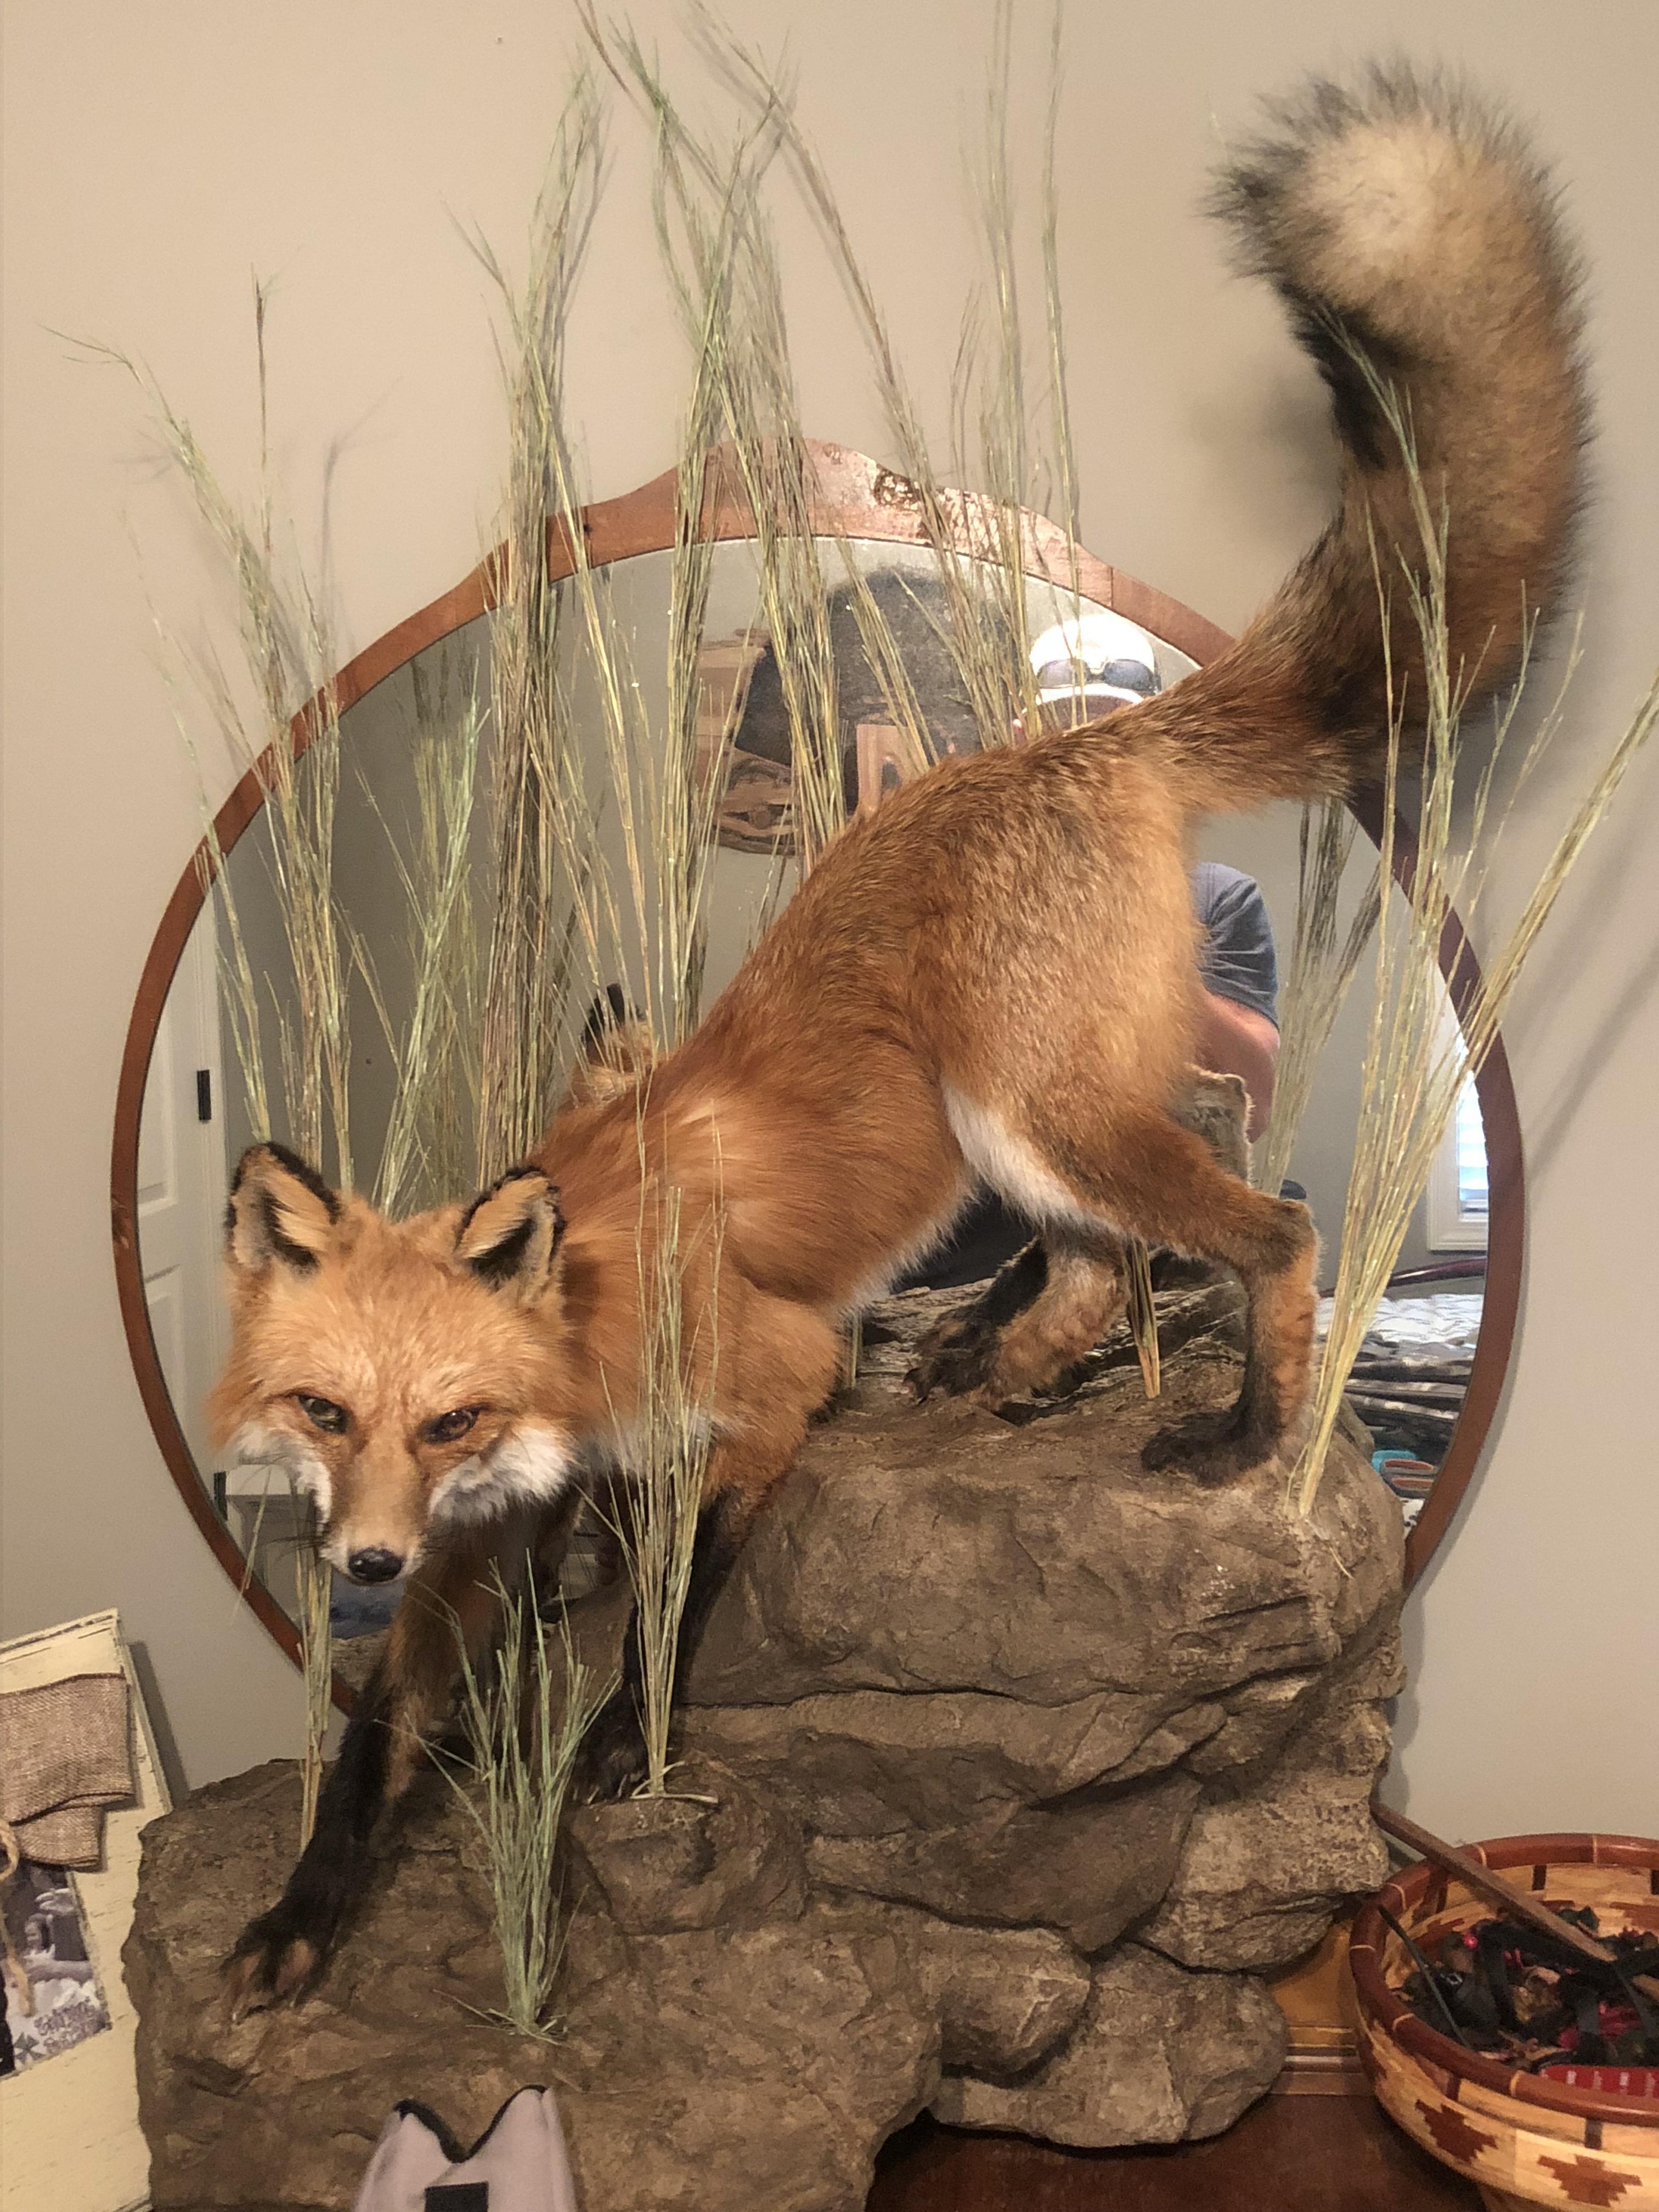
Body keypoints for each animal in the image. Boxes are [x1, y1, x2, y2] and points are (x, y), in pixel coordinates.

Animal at [215, 65, 1586, 2015]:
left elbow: (661, 1632)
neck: (589, 1300)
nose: (359, 1547)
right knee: (1113, 1245)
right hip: (1027, 1120)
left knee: (1267, 1218)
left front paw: (614, 1763)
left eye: (447, 1408)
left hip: (1030, 1107)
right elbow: (365, 1734)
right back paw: (1005, 1368)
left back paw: (1243, 1432)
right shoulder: (477, 1531)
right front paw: (305, 1912)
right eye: (331, 1415)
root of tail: (1083, 740)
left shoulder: (756, 1403)